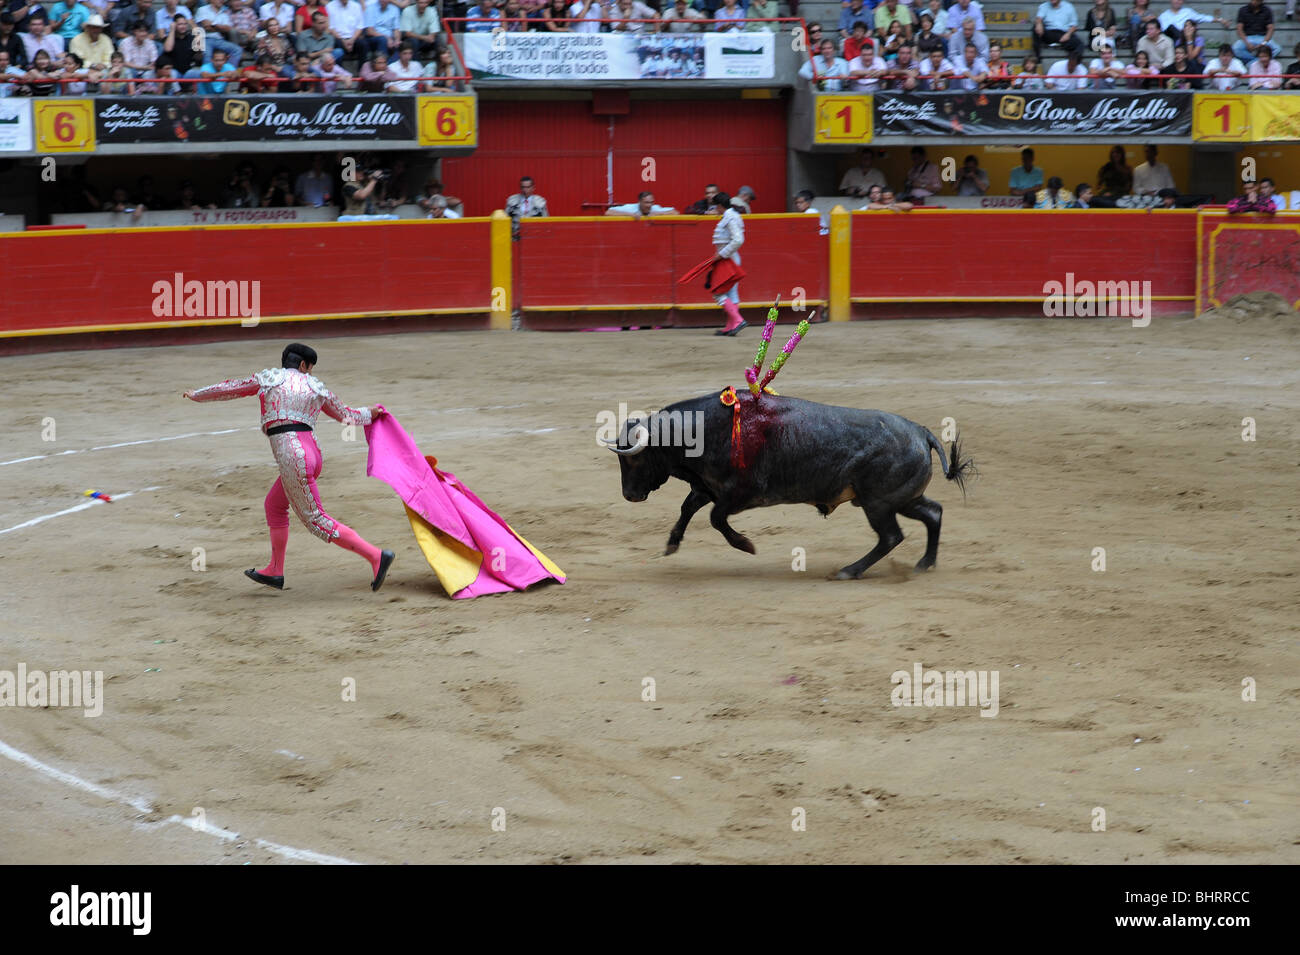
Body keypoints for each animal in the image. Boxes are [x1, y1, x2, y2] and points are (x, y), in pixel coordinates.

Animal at [603, 391, 973, 580]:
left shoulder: (742, 494)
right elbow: (688, 507)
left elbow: (715, 518)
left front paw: (746, 545)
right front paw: (671, 544)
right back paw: (925, 564)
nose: (629, 495)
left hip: (878, 503)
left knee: (891, 536)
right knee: (933, 514)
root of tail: (921, 432)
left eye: (633, 459)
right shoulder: (709, 488)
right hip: (903, 499)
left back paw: (849, 571)